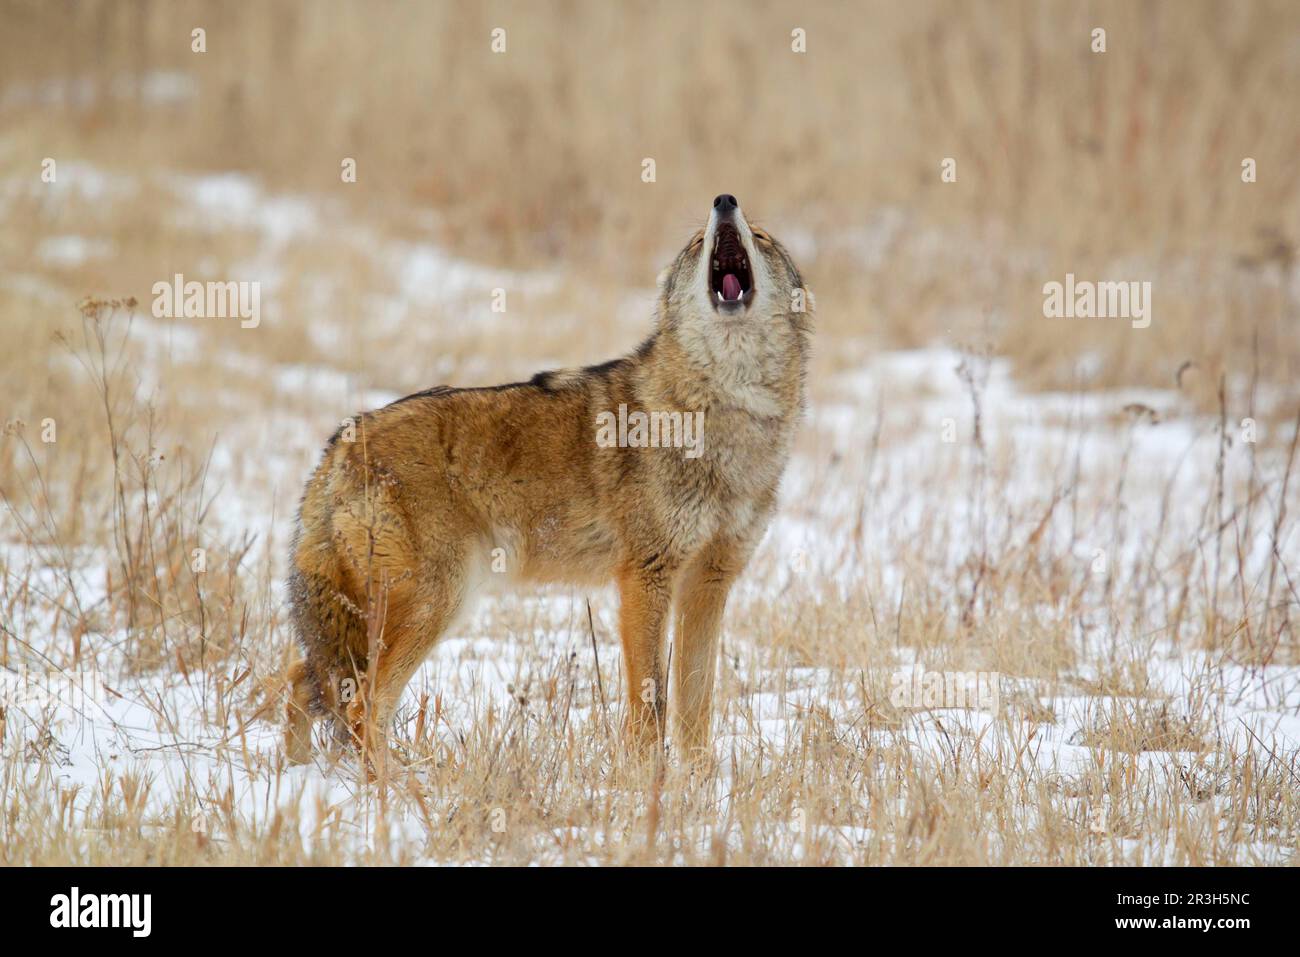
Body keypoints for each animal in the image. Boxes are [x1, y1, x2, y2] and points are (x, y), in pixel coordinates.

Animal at [284, 194, 811, 766]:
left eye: (760, 236)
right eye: (697, 242)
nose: (724, 201)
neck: (729, 408)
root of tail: (340, 441)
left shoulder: (709, 582)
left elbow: (697, 706)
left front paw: (697, 780)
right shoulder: (646, 576)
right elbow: (651, 701)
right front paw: (646, 777)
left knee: (299, 679)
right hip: (437, 604)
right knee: (362, 707)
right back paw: (392, 784)